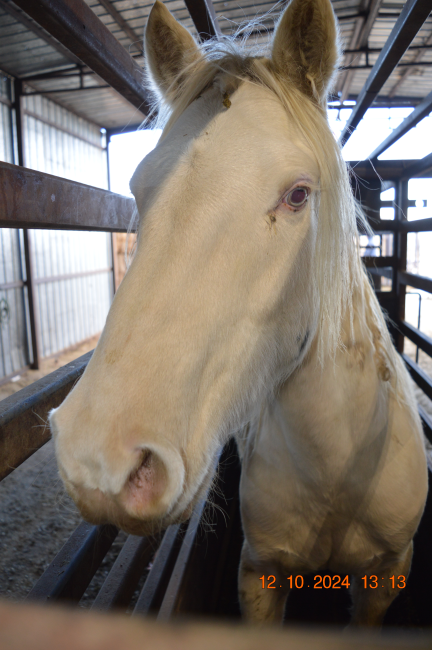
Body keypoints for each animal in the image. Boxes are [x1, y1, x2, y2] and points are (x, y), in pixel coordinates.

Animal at [49, 0, 428, 627]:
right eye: (138, 188)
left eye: (298, 195)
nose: (102, 460)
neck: (339, 465)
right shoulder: (259, 575)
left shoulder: (385, 577)